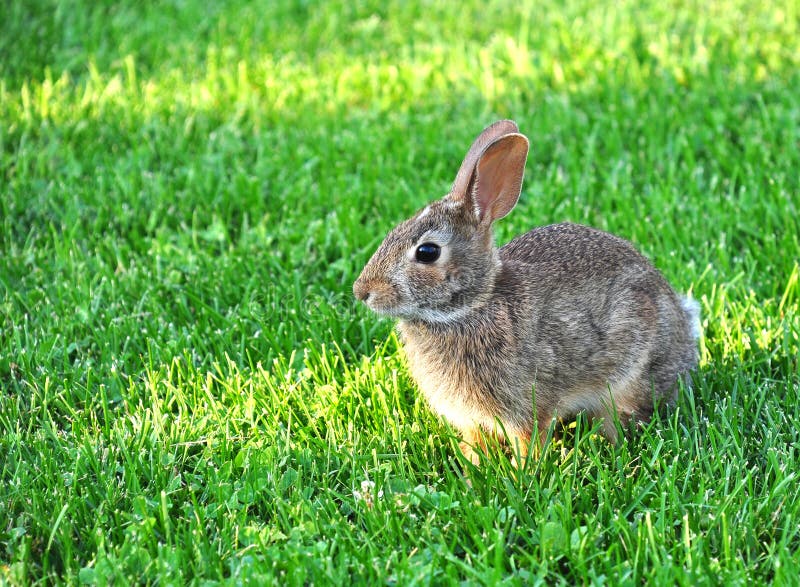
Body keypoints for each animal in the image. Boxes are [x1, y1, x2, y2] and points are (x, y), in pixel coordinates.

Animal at [353, 120, 700, 465]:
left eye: (427, 252)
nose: (362, 291)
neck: (471, 307)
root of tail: (684, 331)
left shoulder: (526, 406)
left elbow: (528, 441)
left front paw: (523, 473)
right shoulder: (469, 418)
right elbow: (474, 442)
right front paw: (473, 469)